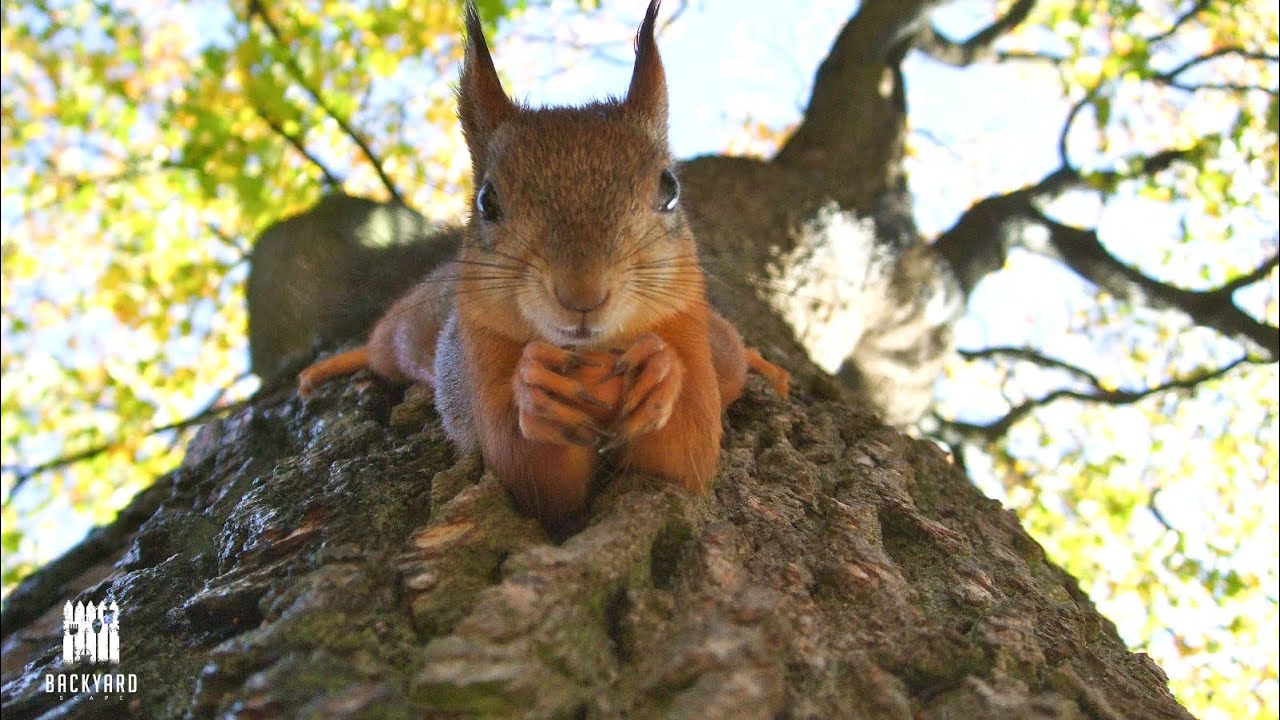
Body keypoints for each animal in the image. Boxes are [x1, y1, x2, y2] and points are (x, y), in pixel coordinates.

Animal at [296, 0, 789, 527]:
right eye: (487, 201)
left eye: (669, 188)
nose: (582, 295)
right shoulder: (480, 356)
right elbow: (534, 477)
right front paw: (535, 388)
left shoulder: (688, 332)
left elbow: (684, 455)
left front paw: (661, 370)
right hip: (408, 332)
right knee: (380, 349)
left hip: (721, 351)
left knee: (735, 355)